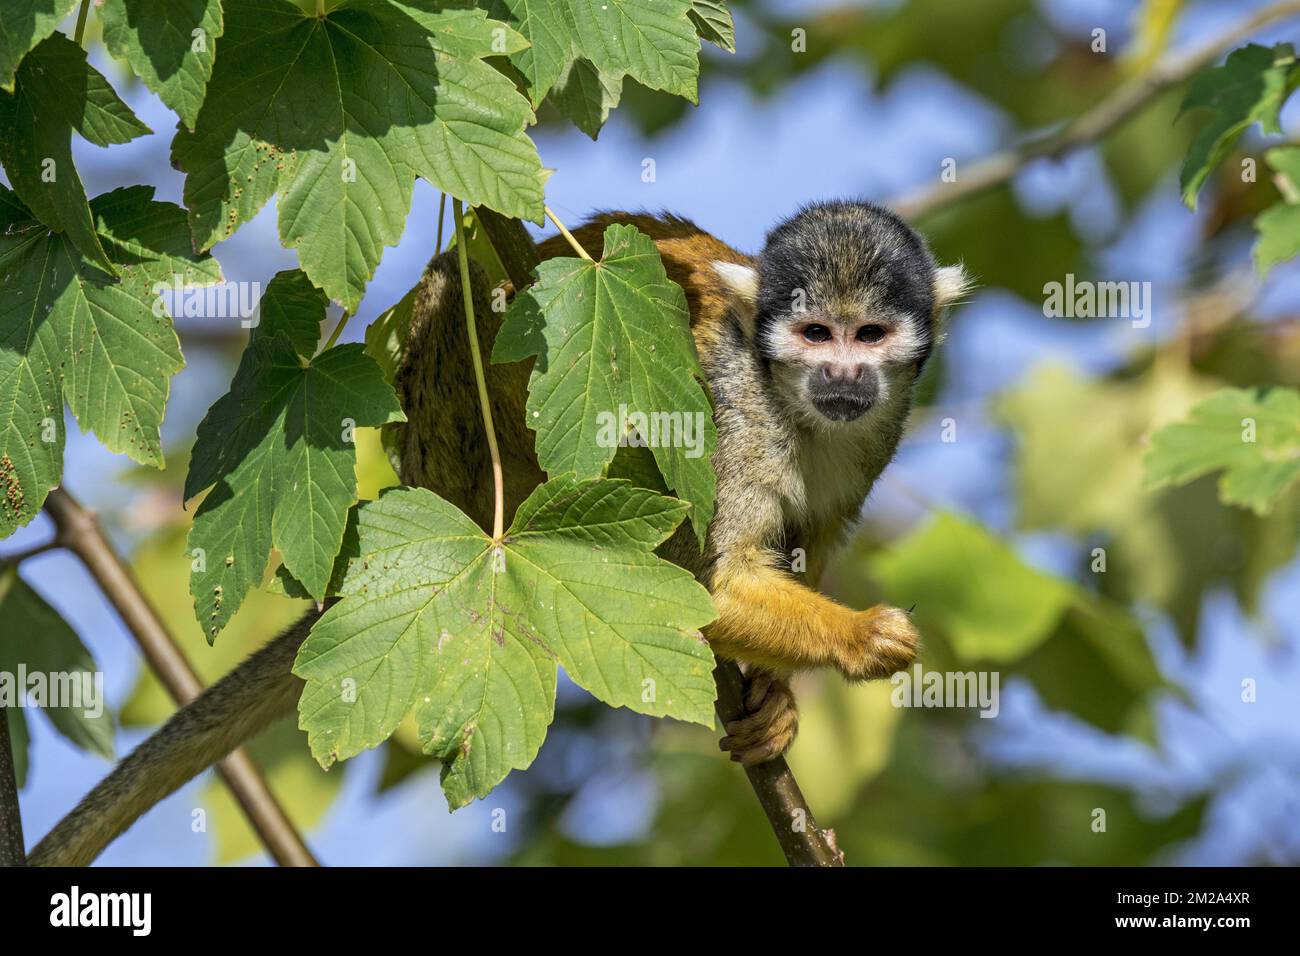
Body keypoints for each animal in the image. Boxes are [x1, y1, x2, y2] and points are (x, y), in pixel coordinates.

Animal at [27, 200, 968, 866]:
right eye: (814, 333)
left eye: (868, 335)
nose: (843, 372)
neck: (795, 409)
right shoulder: (733, 407)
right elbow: (707, 585)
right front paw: (859, 640)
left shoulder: (878, 435)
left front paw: (778, 700)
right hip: (463, 435)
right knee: (473, 290)